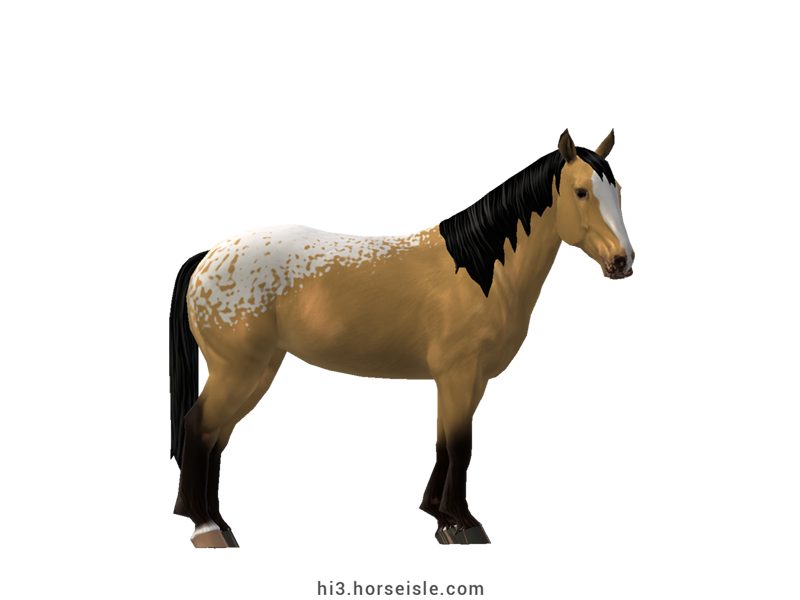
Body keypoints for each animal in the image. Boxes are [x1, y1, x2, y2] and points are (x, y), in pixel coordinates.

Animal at [171, 128, 634, 538]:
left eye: (614, 189)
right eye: (581, 192)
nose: (621, 261)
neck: (480, 269)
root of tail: (208, 258)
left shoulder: (461, 378)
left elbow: (445, 443)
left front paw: (440, 513)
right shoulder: (458, 373)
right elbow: (460, 445)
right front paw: (462, 519)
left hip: (248, 374)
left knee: (215, 434)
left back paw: (218, 517)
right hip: (234, 371)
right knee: (199, 427)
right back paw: (203, 522)